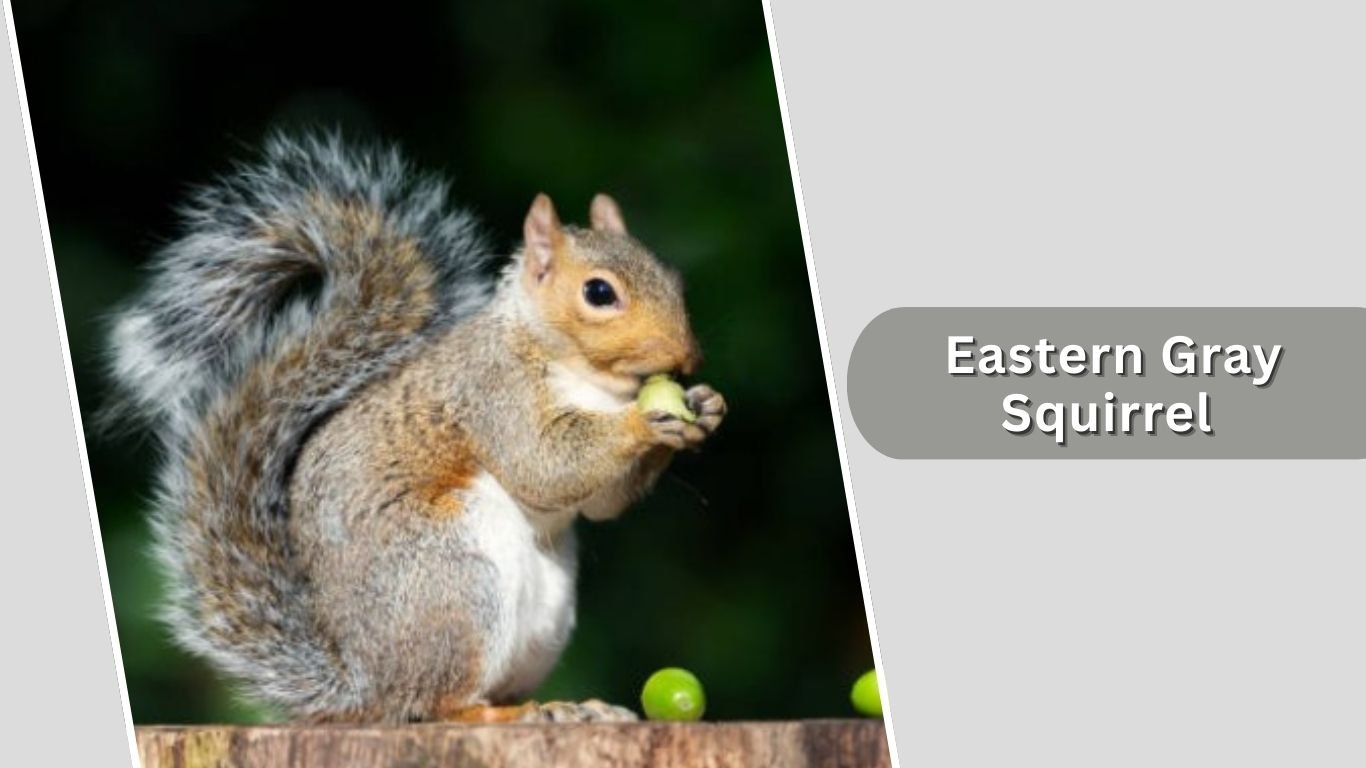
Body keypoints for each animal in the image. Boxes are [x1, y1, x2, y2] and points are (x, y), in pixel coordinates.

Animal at [106, 134, 726, 724]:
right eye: (599, 292)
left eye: (672, 278)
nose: (688, 357)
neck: (588, 378)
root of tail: (363, 684)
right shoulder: (493, 391)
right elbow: (543, 464)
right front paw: (645, 420)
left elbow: (600, 503)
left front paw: (705, 406)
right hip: (454, 581)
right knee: (436, 703)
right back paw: (499, 713)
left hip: (544, 614)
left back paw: (571, 707)